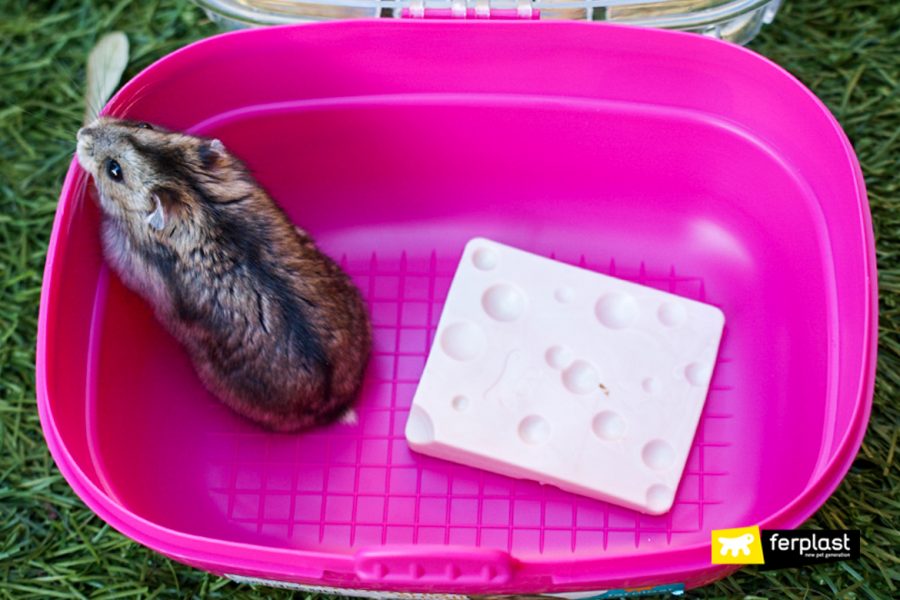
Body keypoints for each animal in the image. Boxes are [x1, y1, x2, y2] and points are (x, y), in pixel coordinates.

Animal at [75, 117, 371, 432]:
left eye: (114, 170)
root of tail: (338, 406)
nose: (82, 132)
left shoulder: (125, 253)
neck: (195, 195)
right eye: (144, 124)